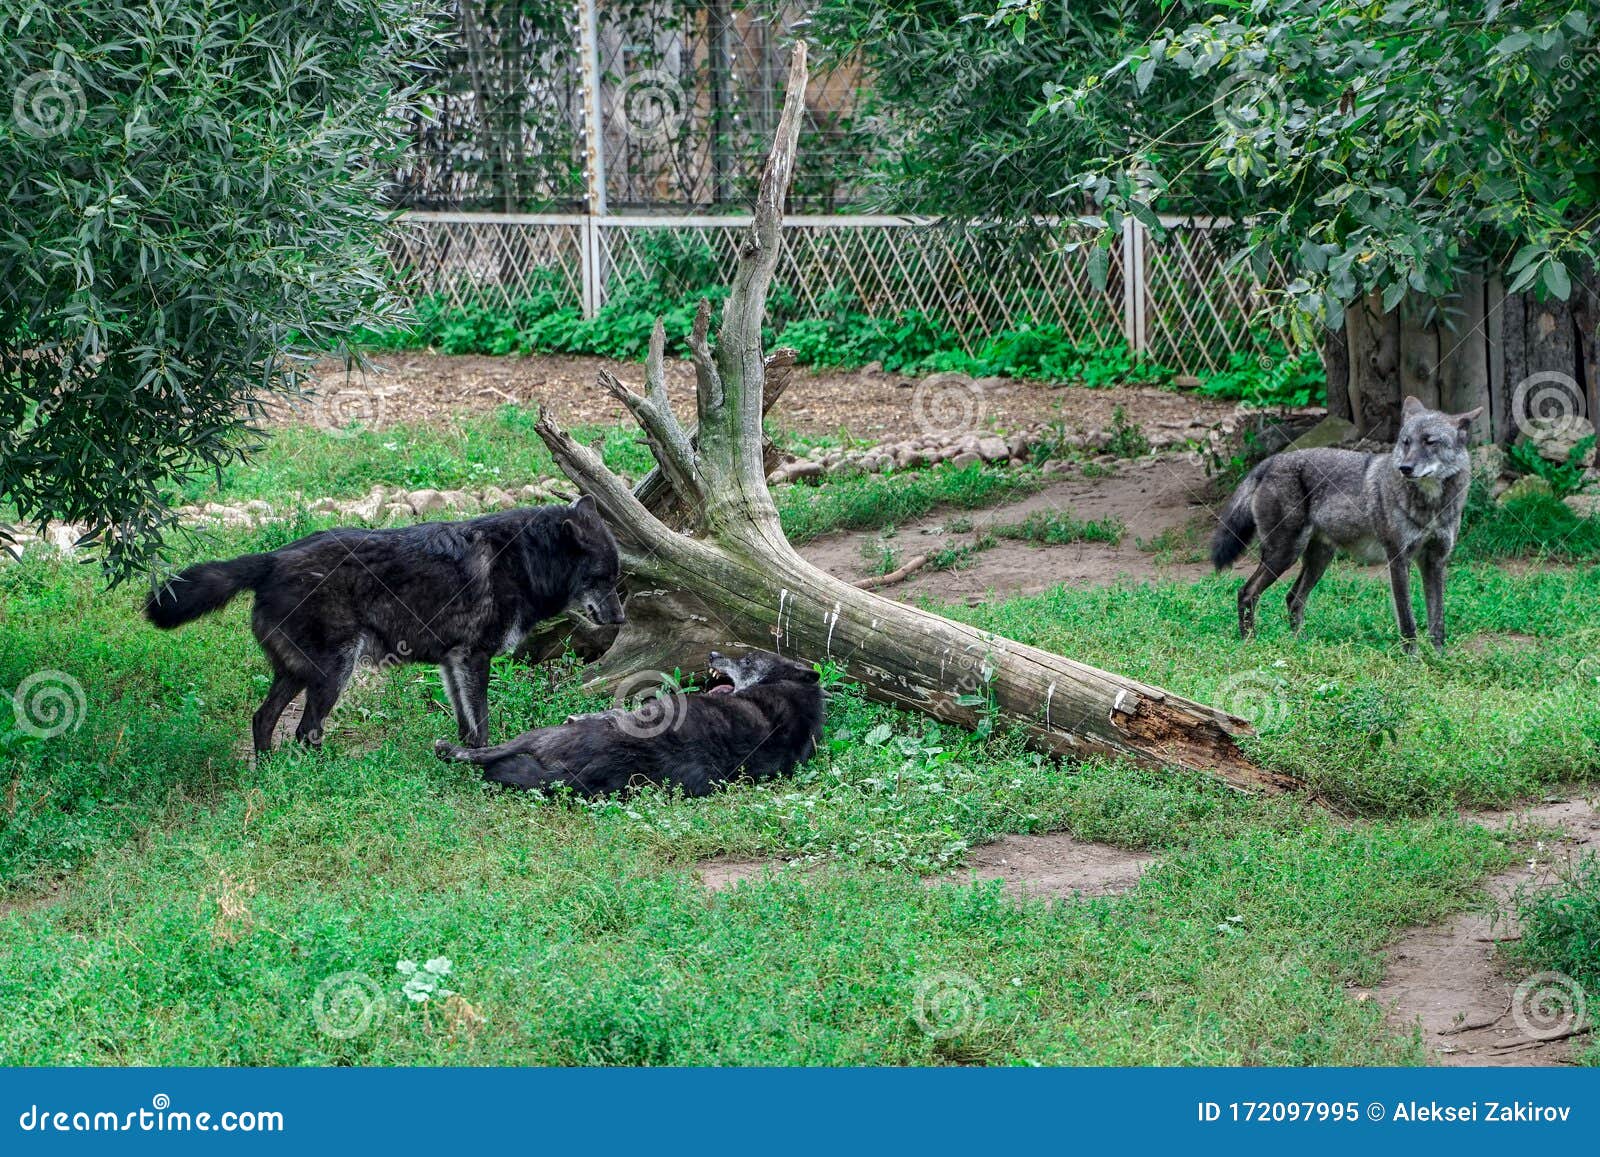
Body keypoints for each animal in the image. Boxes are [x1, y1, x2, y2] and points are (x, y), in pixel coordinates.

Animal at [144, 496, 624, 753]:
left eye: (617, 579)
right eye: (602, 579)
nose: (621, 620)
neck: (525, 560)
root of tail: (273, 558)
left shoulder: (452, 663)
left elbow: (467, 724)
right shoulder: (474, 658)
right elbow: (483, 724)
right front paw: (485, 763)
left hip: (297, 673)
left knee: (263, 719)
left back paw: (269, 776)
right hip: (334, 672)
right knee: (304, 731)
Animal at [1211, 396, 1482, 651]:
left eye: (1430, 442)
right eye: (1406, 442)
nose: (1405, 468)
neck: (1431, 505)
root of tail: (1270, 461)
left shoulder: (1434, 562)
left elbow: (1437, 621)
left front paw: (1438, 658)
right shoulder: (1398, 560)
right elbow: (1408, 621)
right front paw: (1413, 660)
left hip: (1318, 559)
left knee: (1292, 598)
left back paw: (1300, 644)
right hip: (1284, 555)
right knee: (1247, 592)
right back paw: (1250, 642)